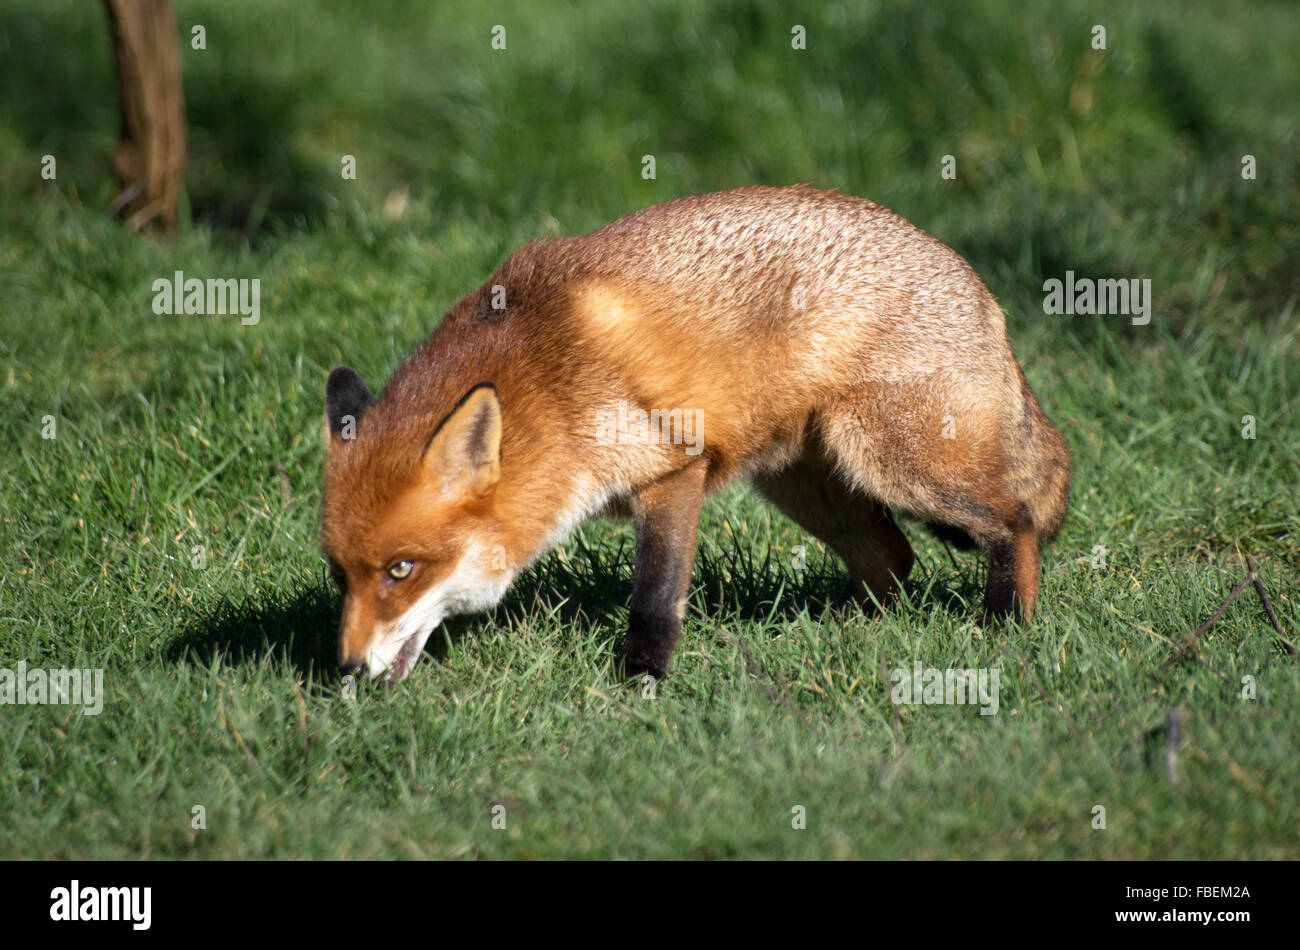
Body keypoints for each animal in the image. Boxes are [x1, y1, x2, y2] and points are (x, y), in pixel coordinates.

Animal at [321, 185, 1070, 683]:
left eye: (401, 570)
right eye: (339, 574)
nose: (348, 668)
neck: (545, 386)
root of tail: (975, 283)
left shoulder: (672, 469)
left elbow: (655, 598)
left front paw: (642, 682)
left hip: (894, 461)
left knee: (1015, 520)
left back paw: (1005, 627)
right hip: (803, 485)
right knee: (893, 558)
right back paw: (848, 635)